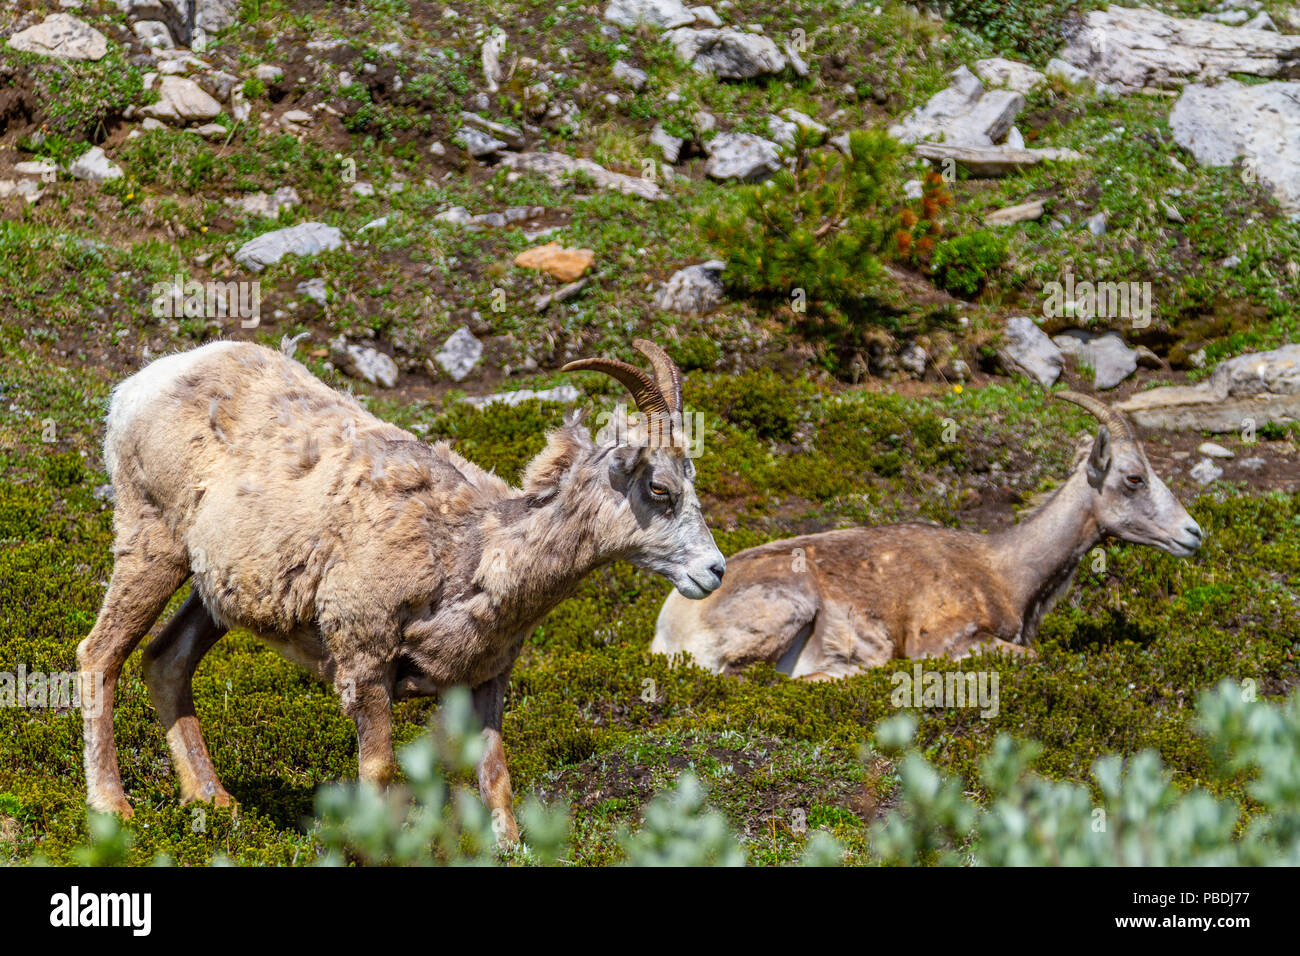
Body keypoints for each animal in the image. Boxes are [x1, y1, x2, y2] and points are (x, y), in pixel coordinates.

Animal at [79, 338, 724, 841]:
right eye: (660, 488)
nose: (713, 571)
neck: (473, 553)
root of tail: (140, 386)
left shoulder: (485, 681)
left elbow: (495, 777)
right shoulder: (365, 663)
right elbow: (381, 772)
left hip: (215, 593)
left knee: (166, 661)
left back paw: (215, 803)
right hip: (151, 544)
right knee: (99, 655)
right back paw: (113, 808)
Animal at [652, 393, 1202, 679]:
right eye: (1133, 478)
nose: (1193, 534)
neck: (1002, 572)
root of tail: (667, 634)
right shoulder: (947, 640)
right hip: (789, 605)